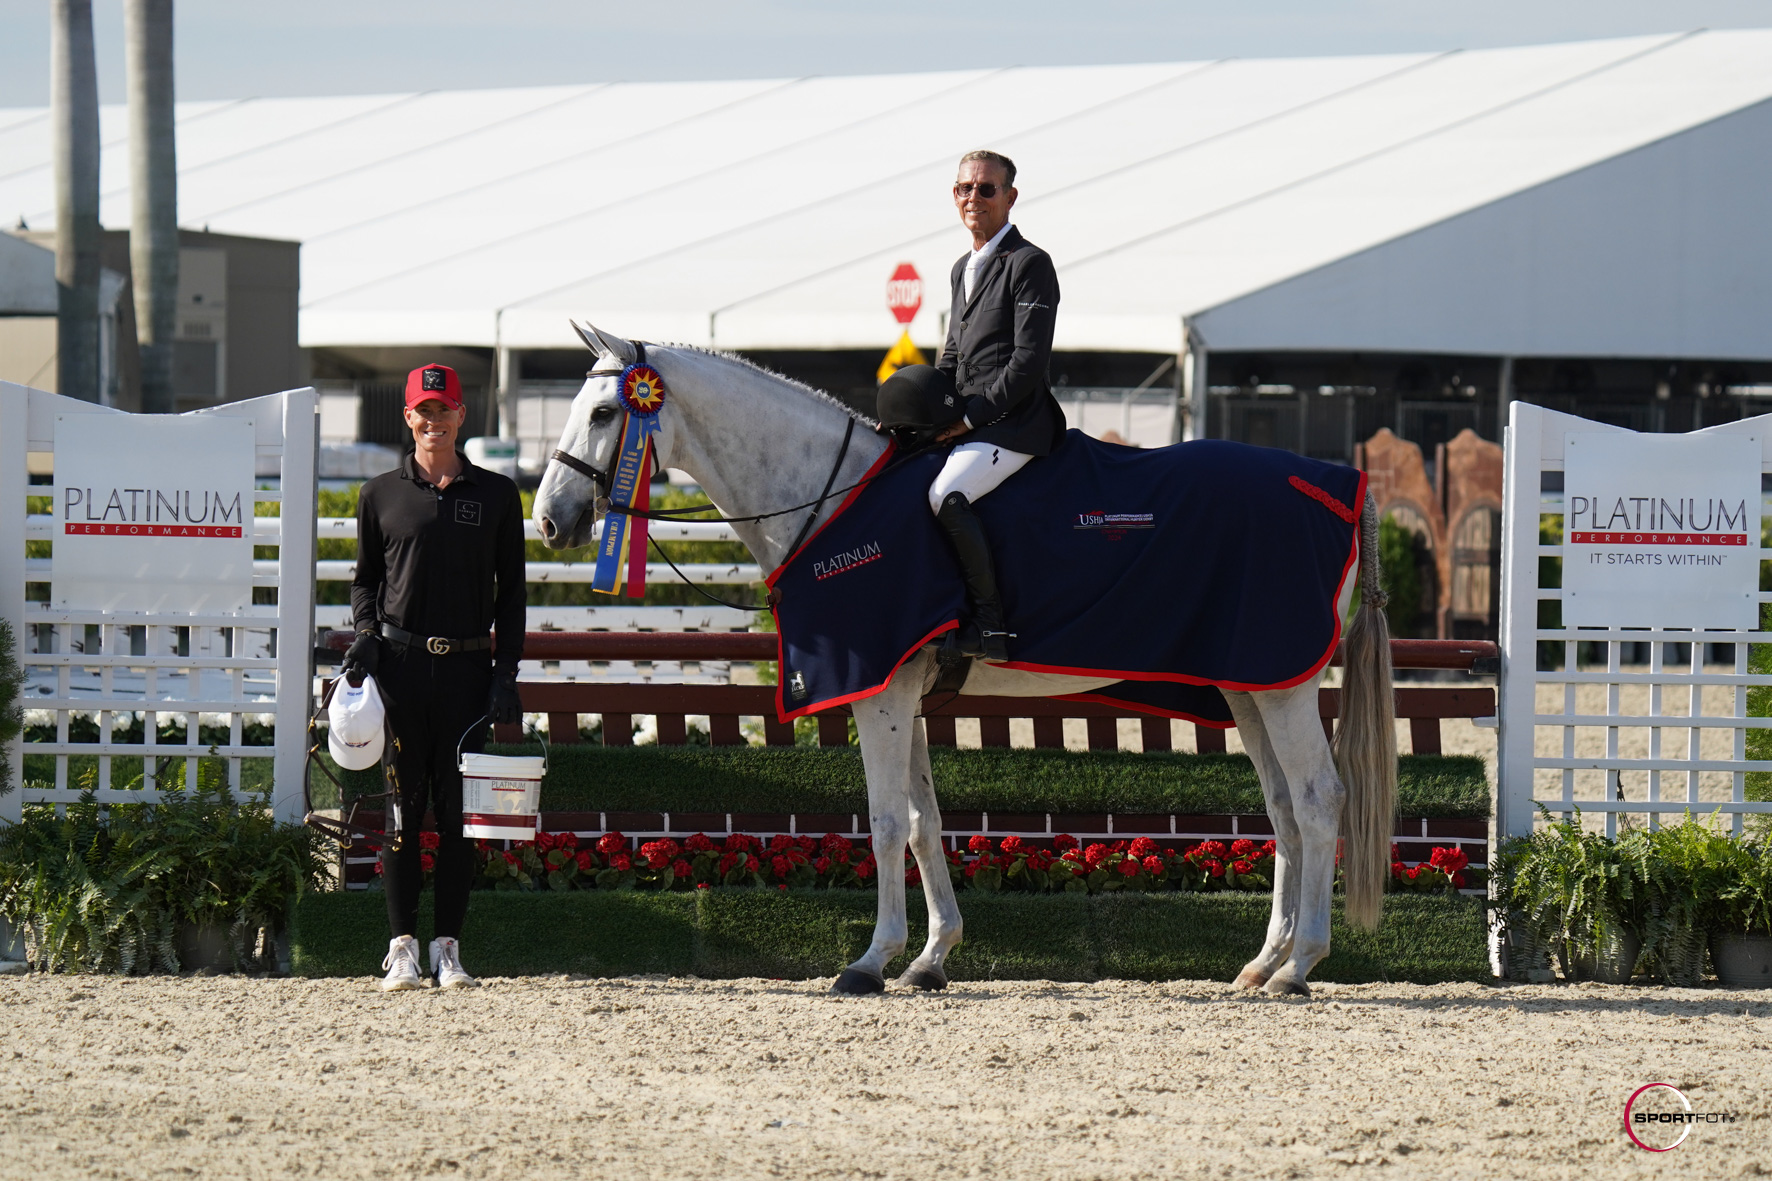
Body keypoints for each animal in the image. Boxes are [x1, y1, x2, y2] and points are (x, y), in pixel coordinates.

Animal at [532, 325, 1397, 998]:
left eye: (605, 410)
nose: (547, 521)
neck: (831, 501)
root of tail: (1338, 483)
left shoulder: (878, 692)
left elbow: (885, 821)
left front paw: (870, 961)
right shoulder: (900, 689)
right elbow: (924, 821)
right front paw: (930, 958)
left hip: (1284, 687)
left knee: (1318, 799)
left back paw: (1299, 968)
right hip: (1250, 685)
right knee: (1283, 808)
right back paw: (1262, 964)